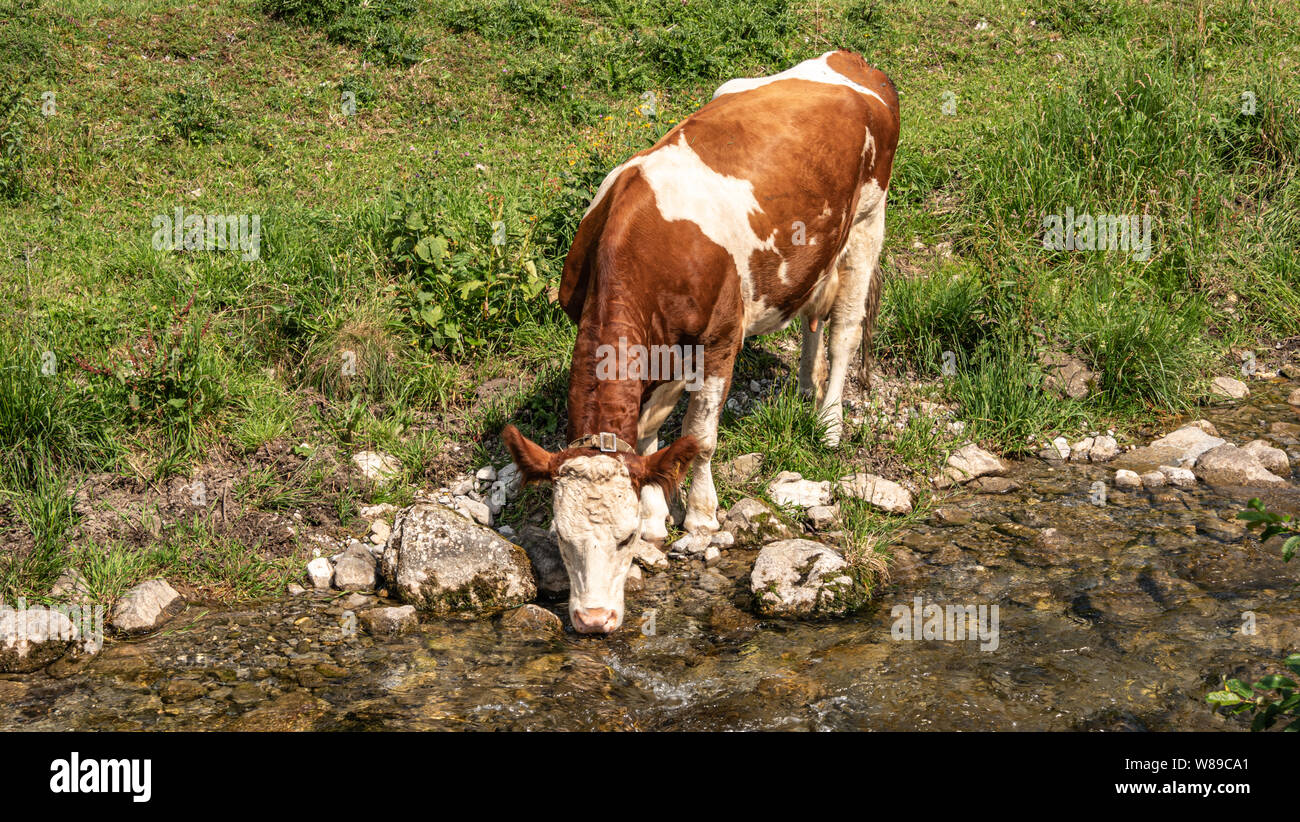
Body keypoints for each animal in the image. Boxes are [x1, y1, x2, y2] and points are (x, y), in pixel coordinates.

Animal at [503, 50, 900, 634]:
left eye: (620, 538)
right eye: (560, 536)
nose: (594, 620)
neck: (645, 244)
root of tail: (848, 59)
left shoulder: (719, 340)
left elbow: (700, 435)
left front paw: (699, 517)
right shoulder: (653, 352)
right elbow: (648, 434)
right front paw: (655, 513)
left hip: (869, 219)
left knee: (844, 329)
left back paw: (829, 424)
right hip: (815, 245)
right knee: (811, 315)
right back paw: (806, 390)